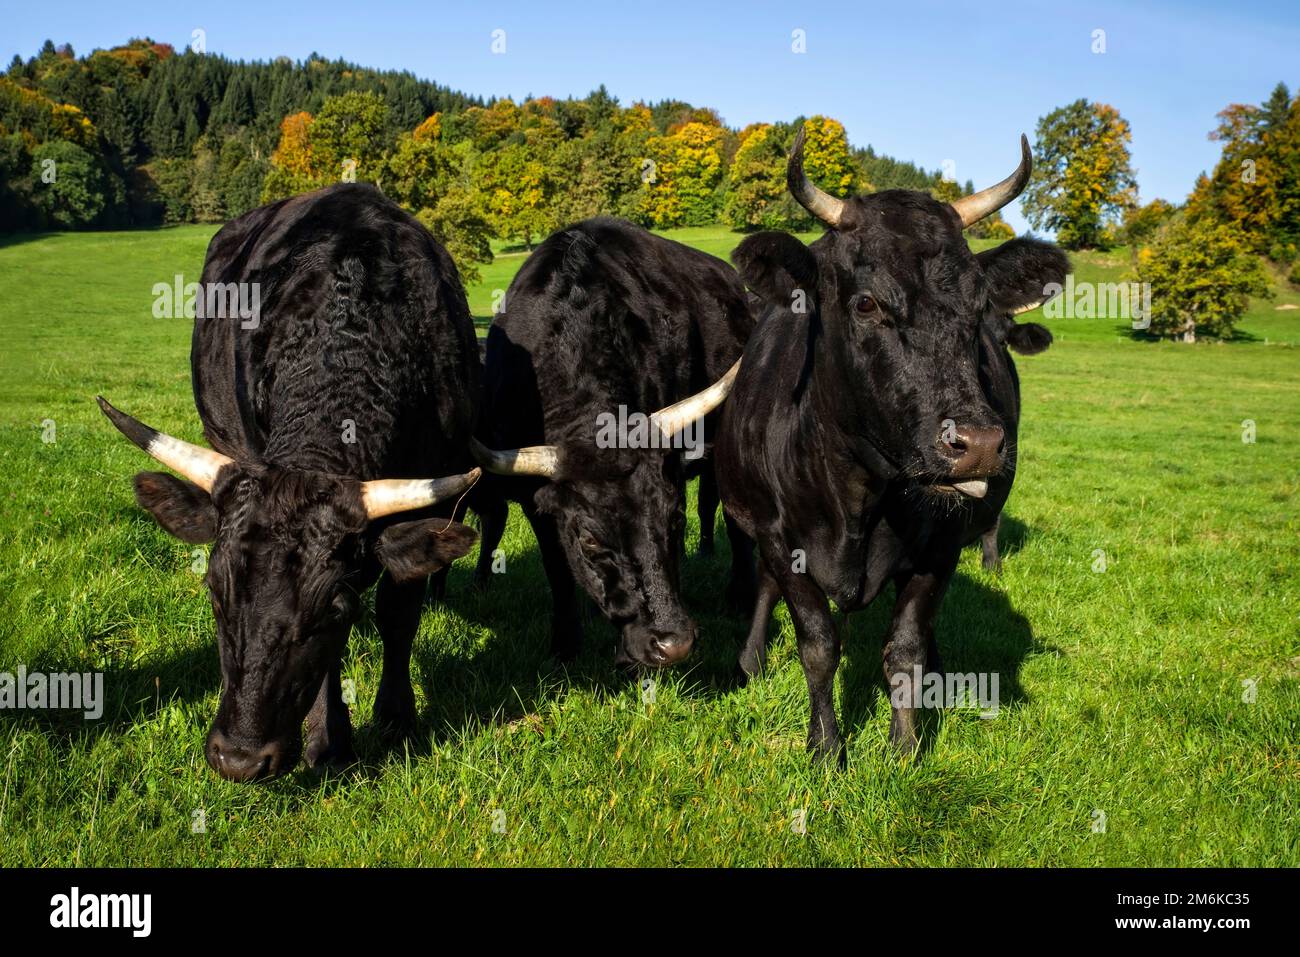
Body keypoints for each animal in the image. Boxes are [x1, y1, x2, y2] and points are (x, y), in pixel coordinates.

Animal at [98, 183, 482, 782]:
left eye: (334, 608)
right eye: (215, 589)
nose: (238, 757)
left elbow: (399, 613)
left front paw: (396, 717)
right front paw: (330, 742)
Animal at [468, 217, 756, 670]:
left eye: (675, 519)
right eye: (590, 539)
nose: (674, 643)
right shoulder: (534, 497)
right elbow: (557, 567)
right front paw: (565, 644)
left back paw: (741, 596)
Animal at [715, 128, 1066, 762]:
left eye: (980, 306)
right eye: (866, 302)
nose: (977, 442)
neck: (860, 496)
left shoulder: (939, 548)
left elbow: (904, 648)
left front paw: (904, 748)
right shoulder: (780, 539)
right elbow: (818, 645)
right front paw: (827, 748)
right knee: (766, 587)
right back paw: (751, 660)